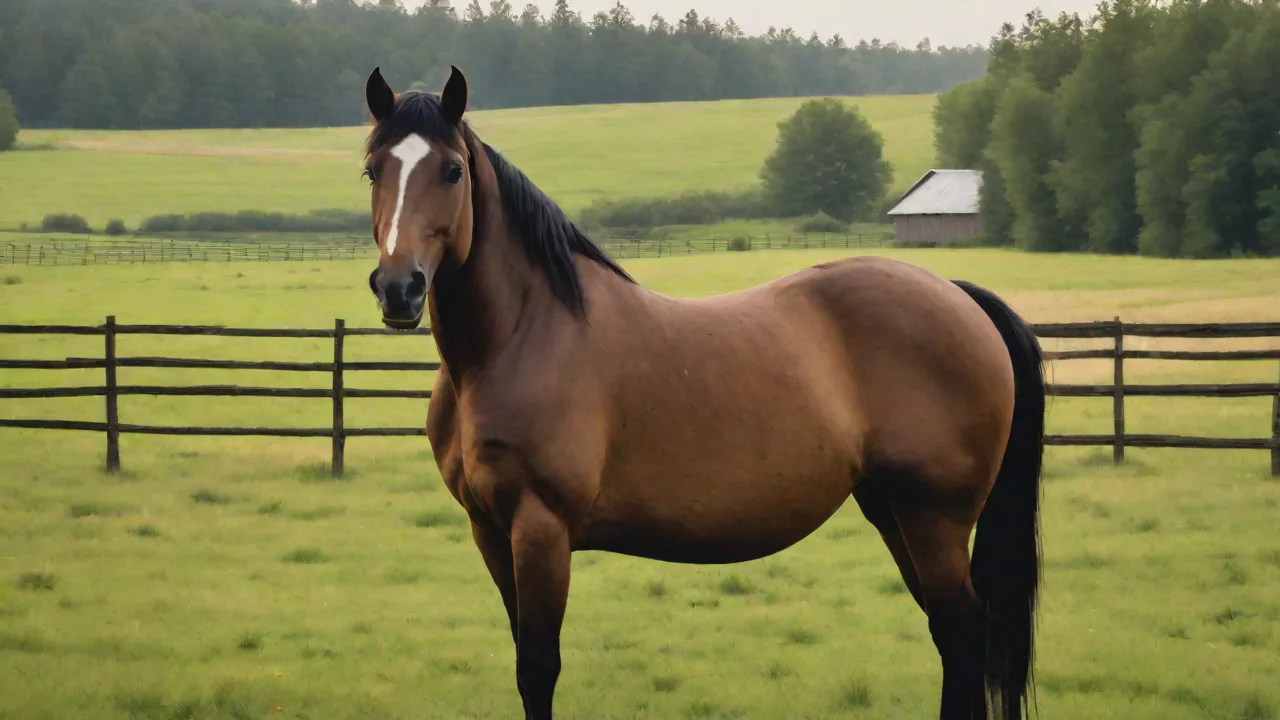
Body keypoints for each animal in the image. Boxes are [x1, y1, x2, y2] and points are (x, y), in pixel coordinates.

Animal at [360, 65, 1046, 720]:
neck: (521, 334)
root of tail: (959, 295)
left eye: (452, 170)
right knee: (955, 633)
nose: (399, 288)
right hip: (894, 510)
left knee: (963, 631)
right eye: (373, 168)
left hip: (934, 517)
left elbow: (538, 670)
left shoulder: (540, 529)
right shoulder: (490, 532)